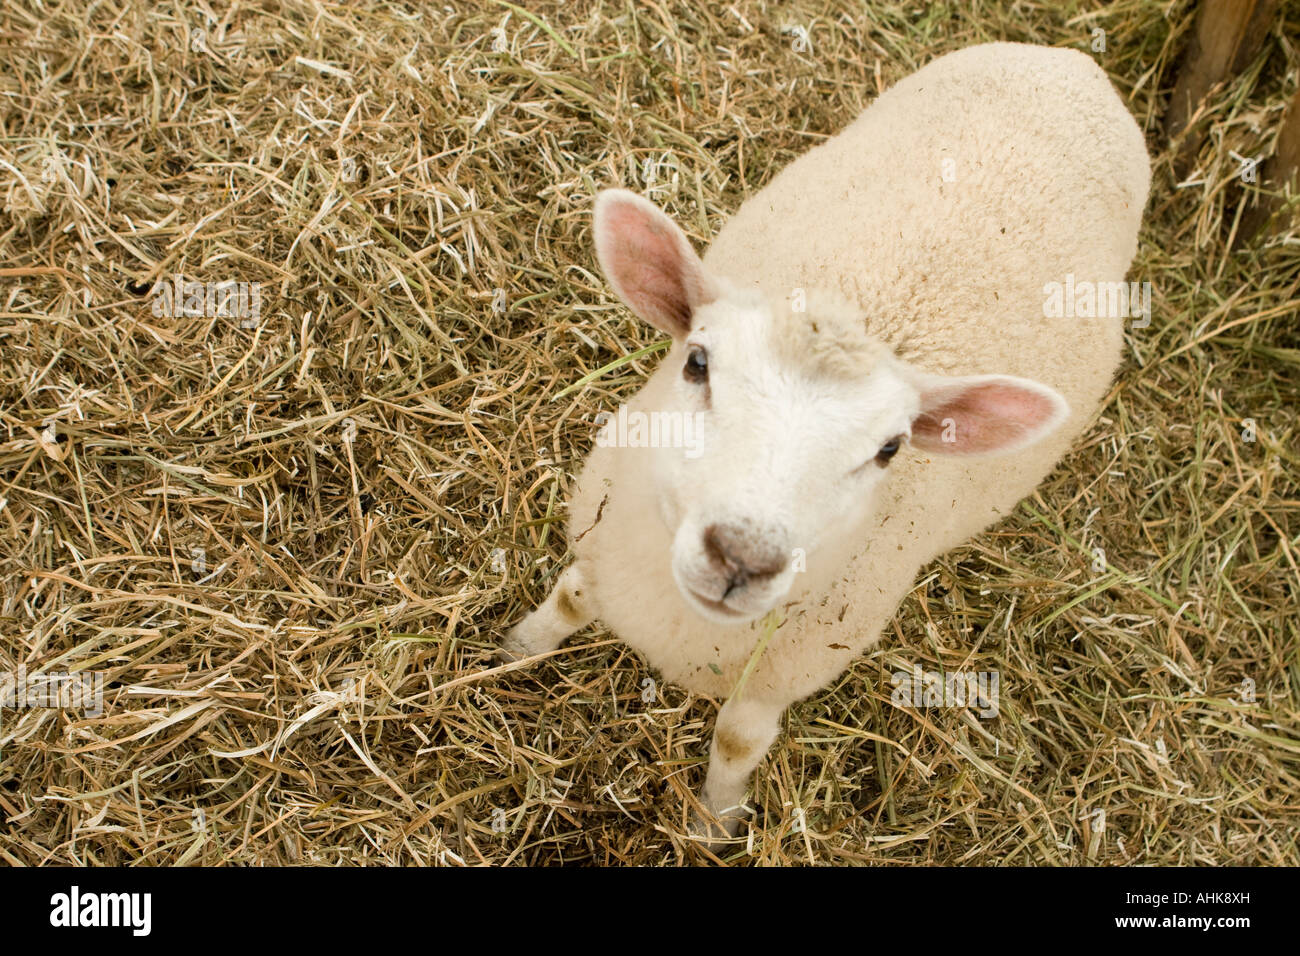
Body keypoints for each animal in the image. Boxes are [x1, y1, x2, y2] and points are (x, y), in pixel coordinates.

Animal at [502, 42, 1150, 843]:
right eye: (697, 362)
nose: (743, 558)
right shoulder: (601, 538)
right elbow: (566, 601)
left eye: (891, 449)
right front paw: (513, 653)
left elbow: (737, 741)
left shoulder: (781, 675)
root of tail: (1076, 63)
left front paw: (715, 825)